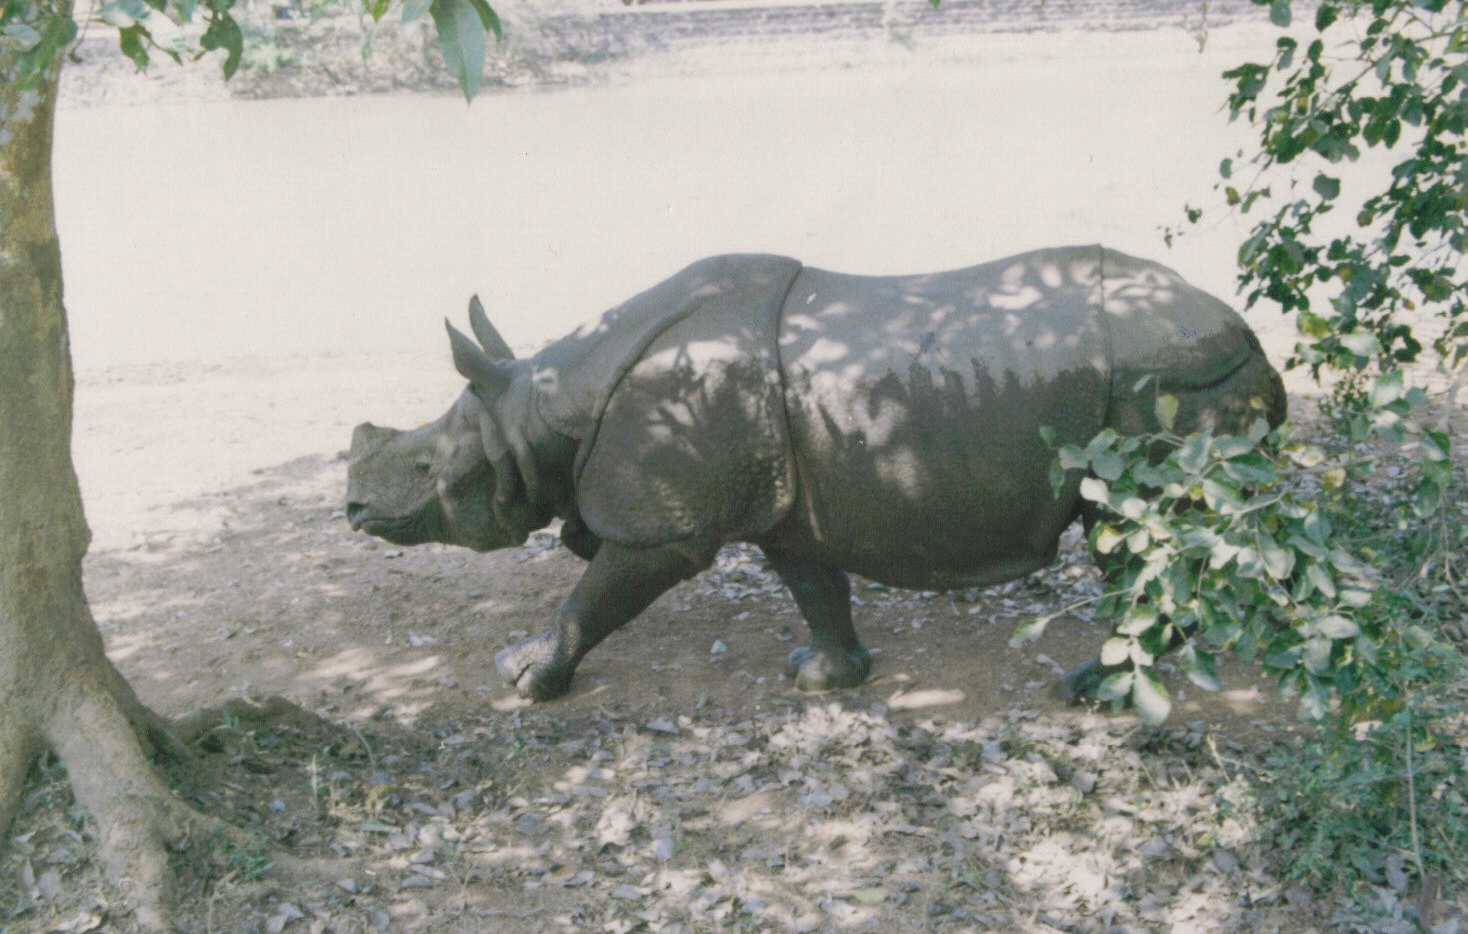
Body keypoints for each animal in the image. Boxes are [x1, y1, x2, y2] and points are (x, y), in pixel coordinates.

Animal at [346, 246, 1286, 702]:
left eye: (428, 466)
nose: (352, 507)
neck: (545, 405)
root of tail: (1245, 332)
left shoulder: (665, 525)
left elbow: (596, 594)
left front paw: (526, 679)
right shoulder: (780, 500)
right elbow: (813, 584)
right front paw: (824, 677)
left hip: (1164, 385)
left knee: (1137, 528)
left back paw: (1096, 692)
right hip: (1174, 379)